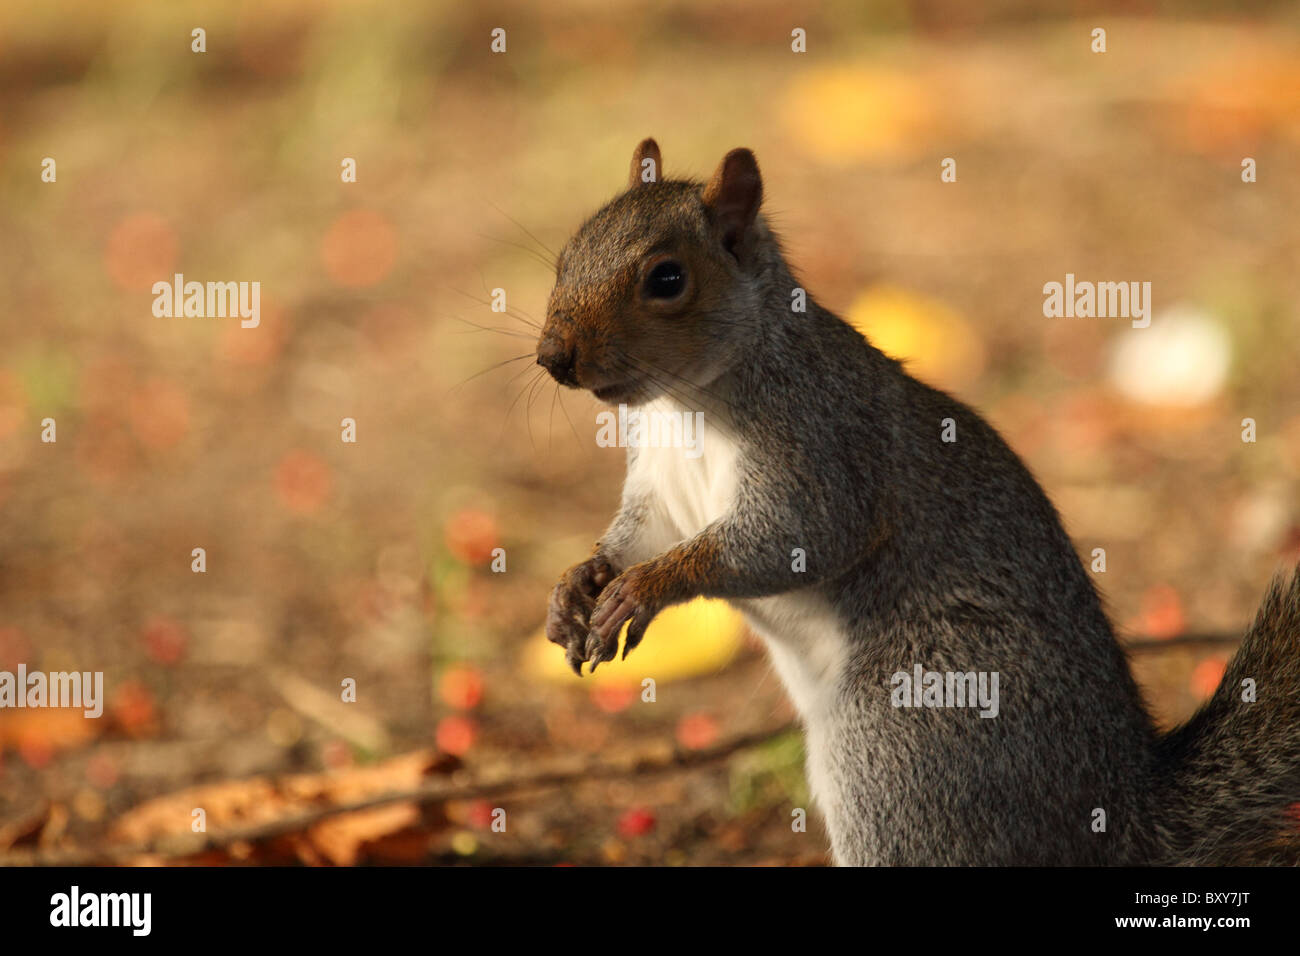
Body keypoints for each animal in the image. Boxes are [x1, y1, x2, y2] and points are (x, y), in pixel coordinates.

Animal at [536, 138, 1300, 865]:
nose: (553, 357)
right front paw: (578, 585)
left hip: (904, 742)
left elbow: (792, 540)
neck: (685, 402)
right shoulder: (660, 489)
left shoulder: (823, 447)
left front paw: (643, 589)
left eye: (667, 279)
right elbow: (637, 534)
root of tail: (1120, 817)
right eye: (566, 255)